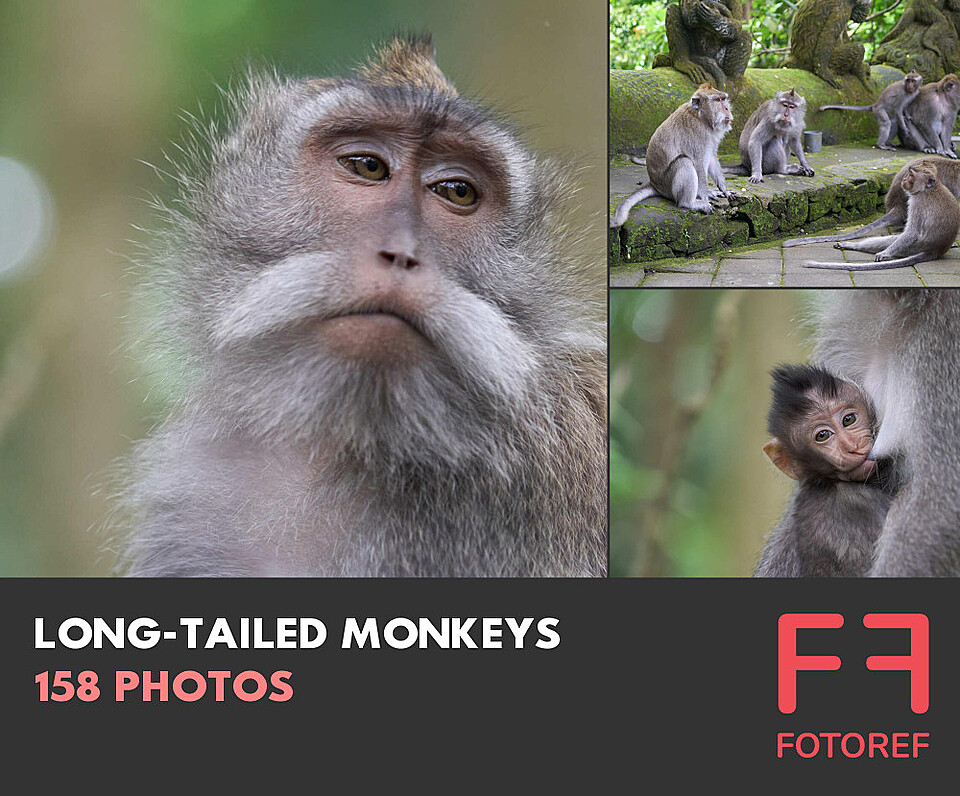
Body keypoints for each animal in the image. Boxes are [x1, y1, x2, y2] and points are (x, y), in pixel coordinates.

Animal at [610, 84, 733, 227]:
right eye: (717, 100)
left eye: (723, 99)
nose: (727, 109)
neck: (701, 117)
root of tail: (655, 184)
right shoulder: (698, 135)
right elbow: (698, 163)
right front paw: (706, 195)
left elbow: (712, 158)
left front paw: (724, 190)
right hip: (667, 184)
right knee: (684, 162)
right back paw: (689, 203)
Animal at [803, 162, 960, 269]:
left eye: (911, 175)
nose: (904, 179)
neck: (928, 189)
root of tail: (935, 251)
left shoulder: (917, 203)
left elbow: (912, 232)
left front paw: (885, 253)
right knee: (889, 239)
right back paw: (851, 245)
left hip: (913, 247)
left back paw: (884, 252)